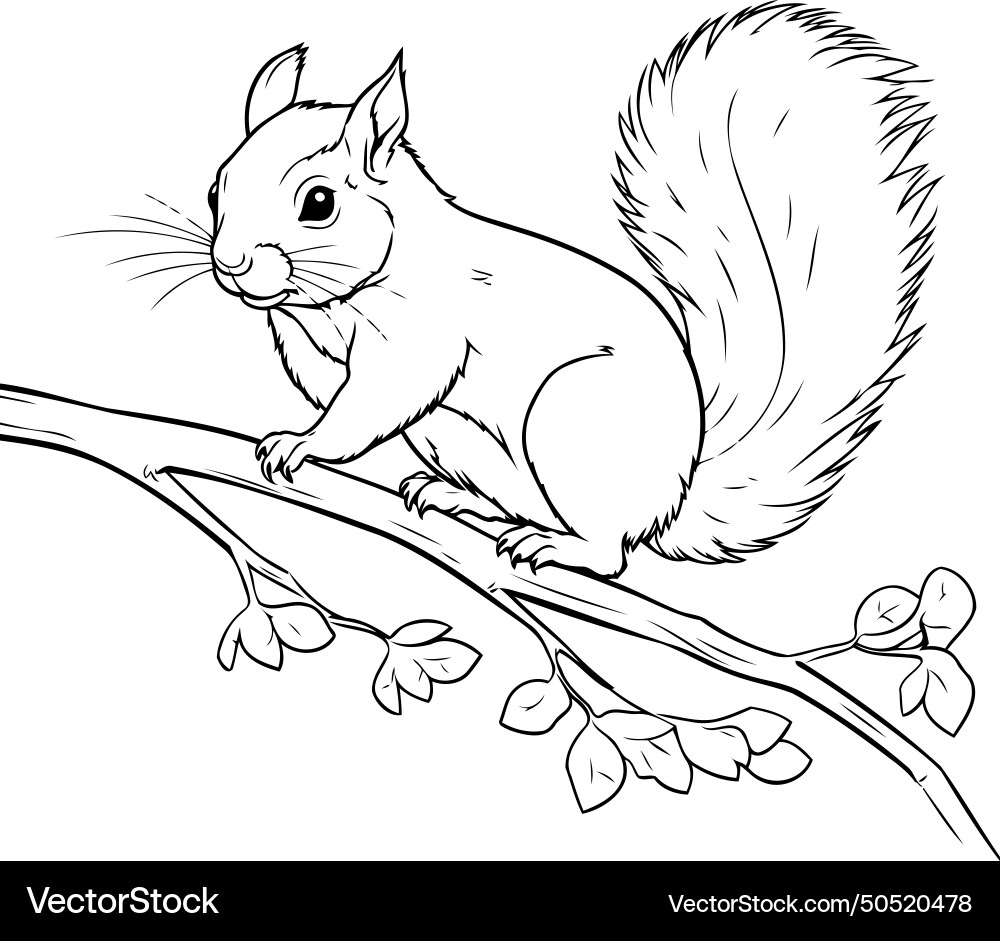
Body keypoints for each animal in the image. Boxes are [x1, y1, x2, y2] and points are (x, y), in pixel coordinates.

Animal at [206, 2, 936, 578]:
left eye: (318, 203)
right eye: (216, 190)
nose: (231, 263)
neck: (345, 298)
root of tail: (672, 496)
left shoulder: (422, 330)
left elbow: (382, 395)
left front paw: (305, 443)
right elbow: (332, 380)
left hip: (575, 420)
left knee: (612, 554)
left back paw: (560, 547)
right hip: (467, 447)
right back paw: (458, 499)